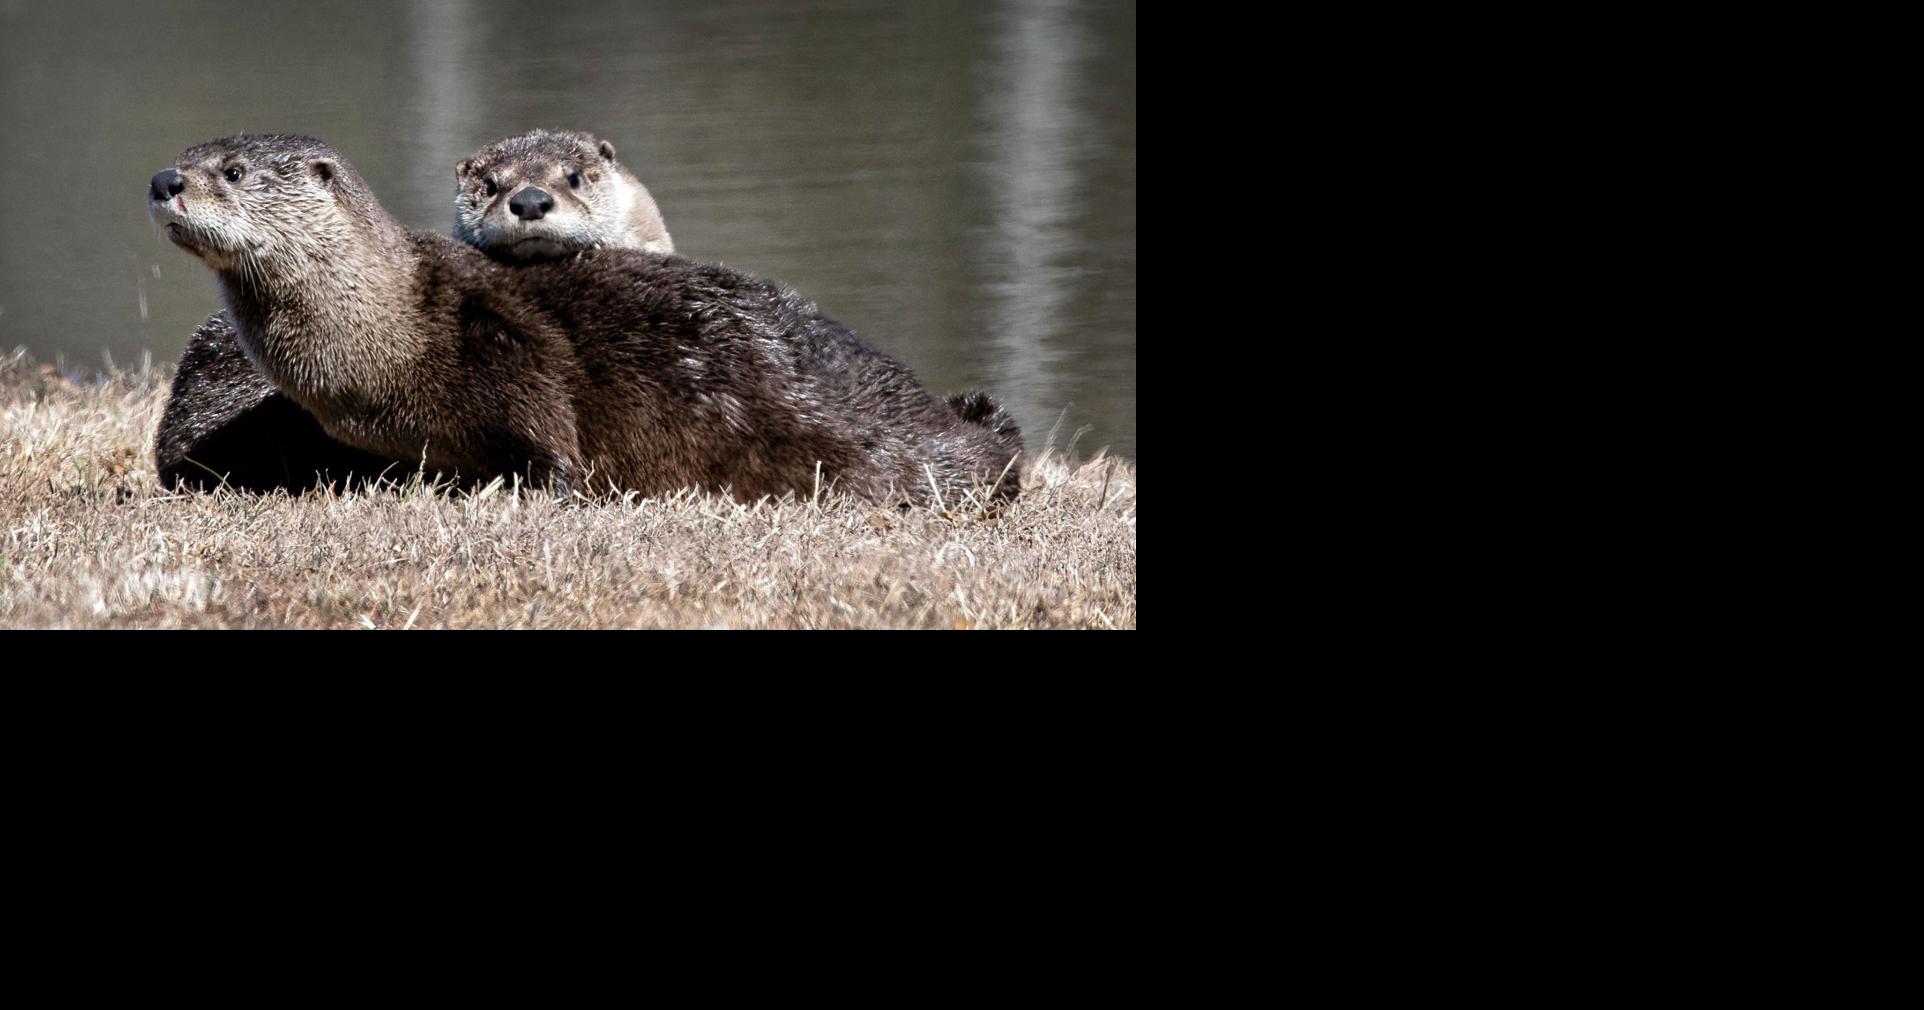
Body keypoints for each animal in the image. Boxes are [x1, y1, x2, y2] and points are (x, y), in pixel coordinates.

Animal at [150, 134, 1022, 505]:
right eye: (186, 155)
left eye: (232, 171)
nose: (165, 180)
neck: (389, 330)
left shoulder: (502, 345)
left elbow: (548, 431)